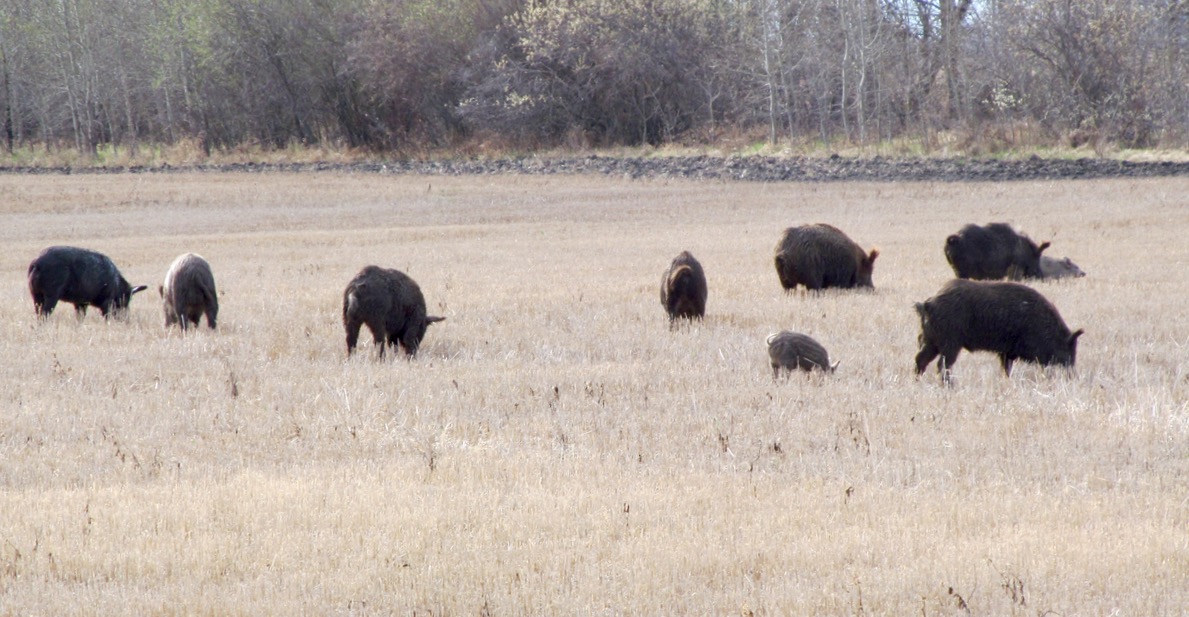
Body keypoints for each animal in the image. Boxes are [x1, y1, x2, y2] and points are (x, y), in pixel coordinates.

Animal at [914, 279, 1084, 381]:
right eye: (1067, 349)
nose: (1072, 377)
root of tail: (928, 304)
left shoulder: (1006, 351)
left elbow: (1006, 368)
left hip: (931, 341)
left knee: (921, 359)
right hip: (950, 343)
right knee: (943, 364)